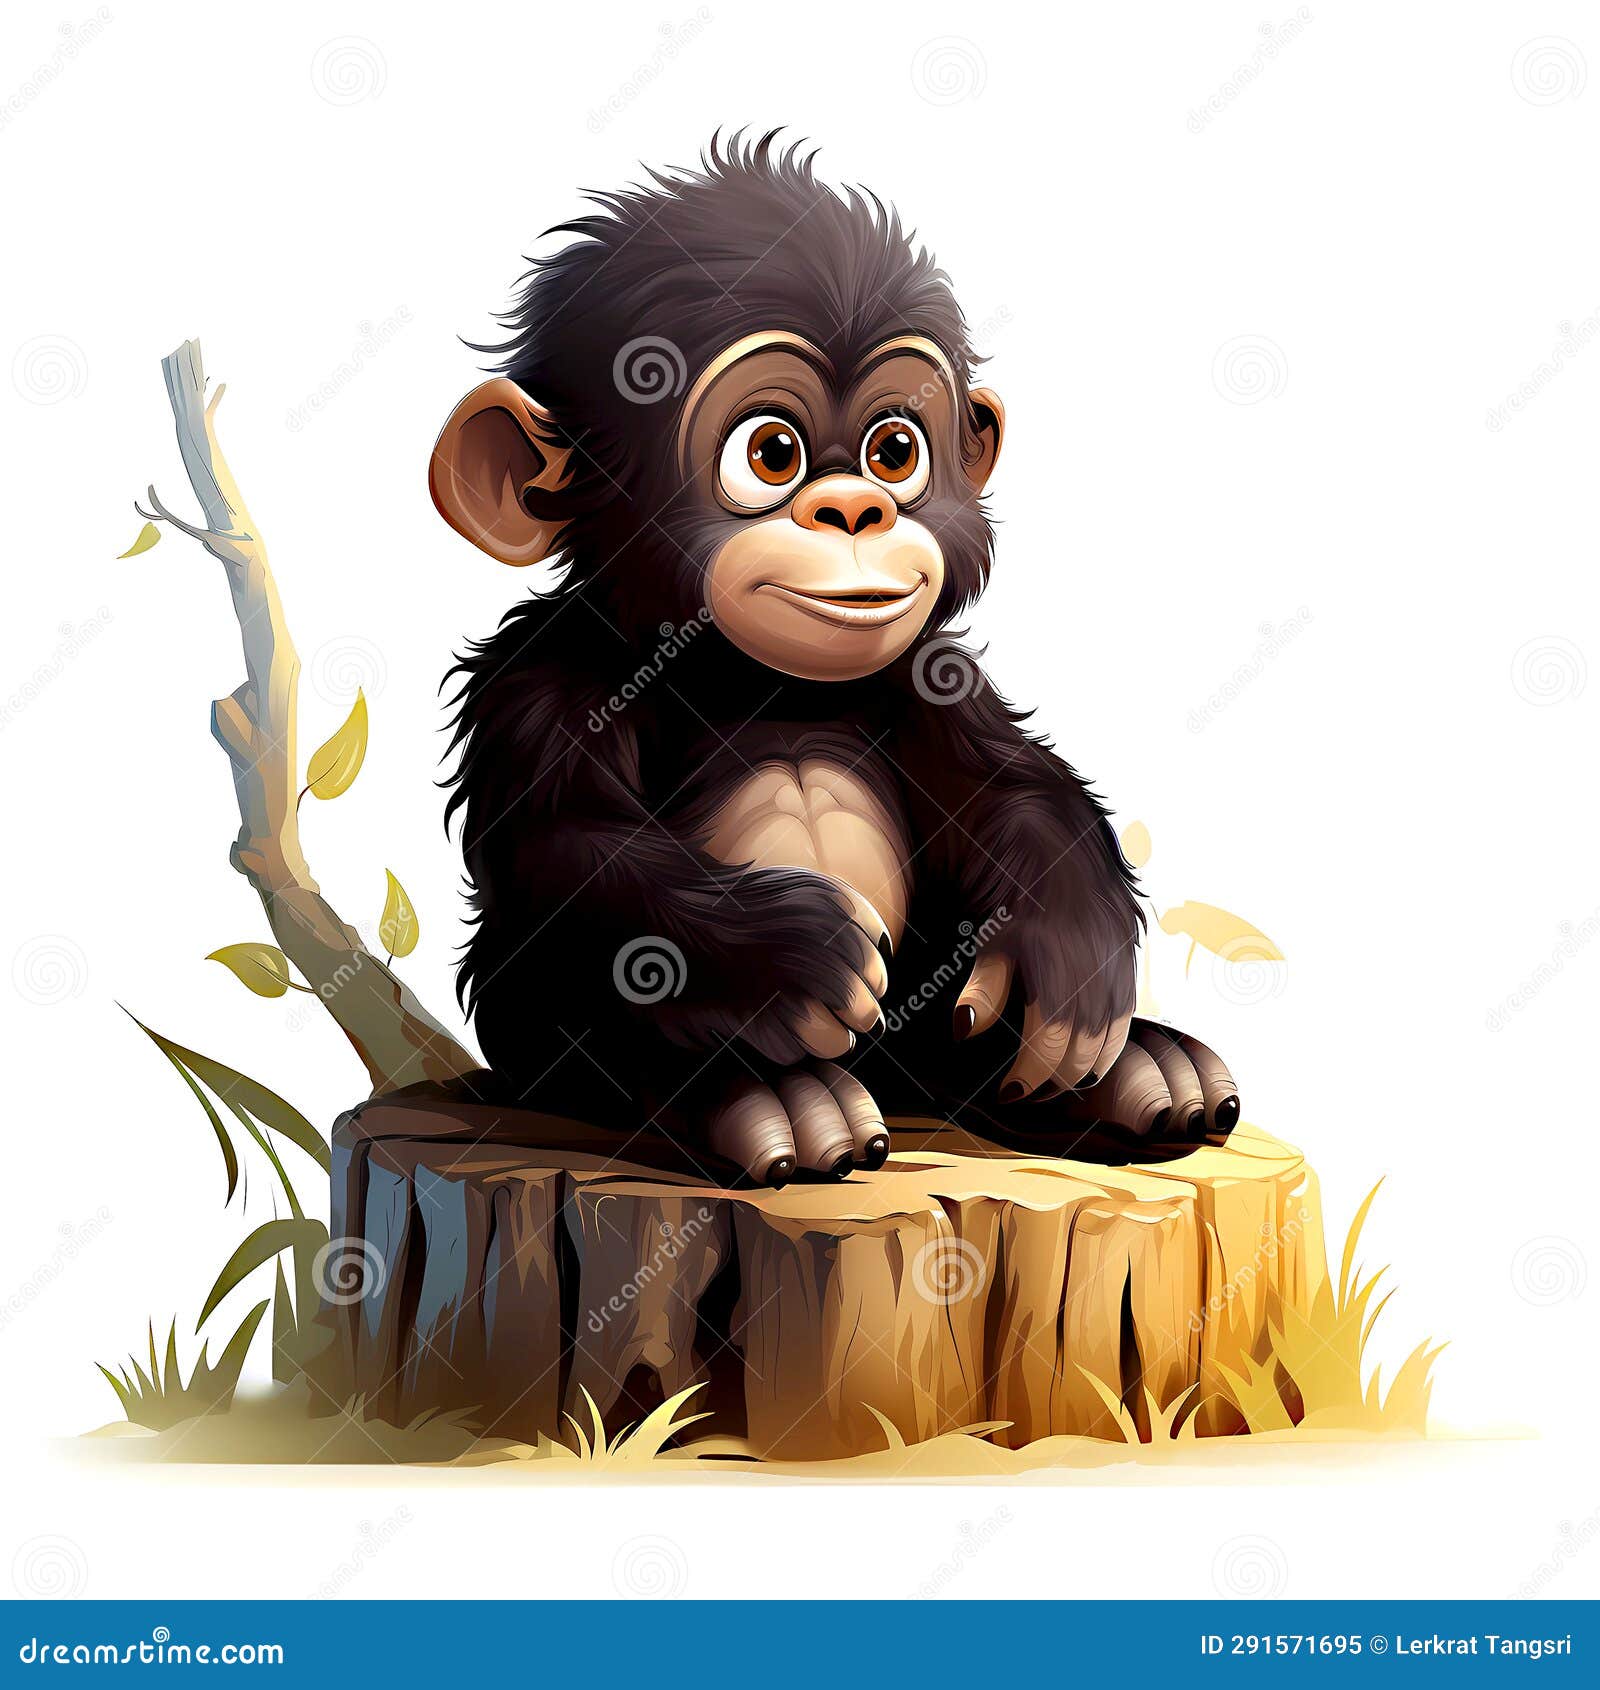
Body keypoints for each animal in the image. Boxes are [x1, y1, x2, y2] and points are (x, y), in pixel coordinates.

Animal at [431, 134, 1239, 1187]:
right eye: (770, 452)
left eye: (894, 447)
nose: (854, 509)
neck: (756, 679)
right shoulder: (541, 678)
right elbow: (565, 852)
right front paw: (795, 952)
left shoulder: (933, 674)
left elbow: (1018, 787)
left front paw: (1065, 947)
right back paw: (759, 1098)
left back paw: (1138, 1071)